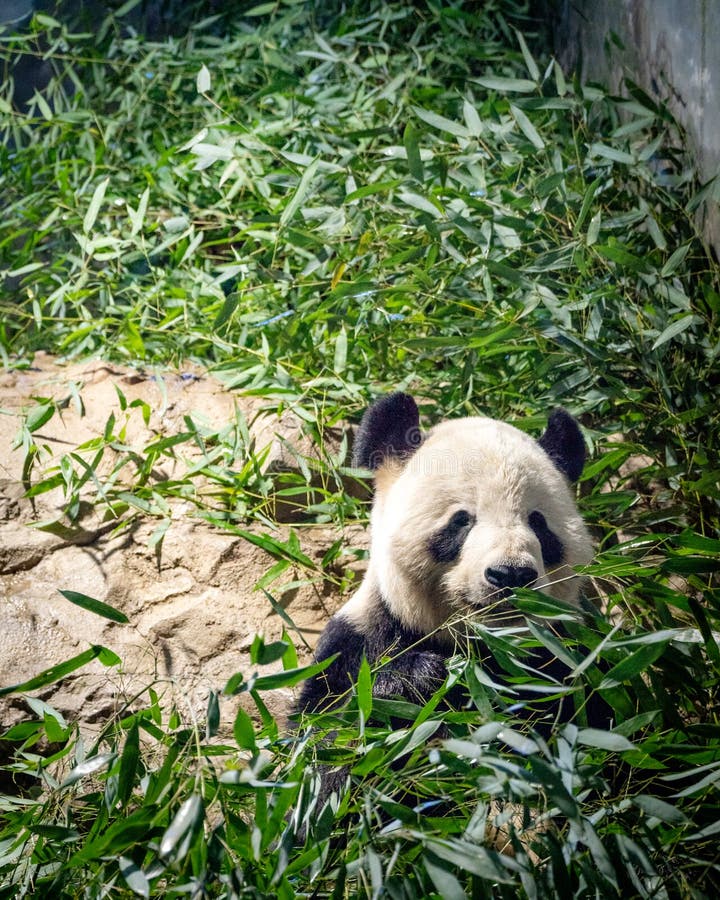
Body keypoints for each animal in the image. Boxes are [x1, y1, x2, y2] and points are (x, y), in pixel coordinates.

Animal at [295, 392, 604, 729]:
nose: (510, 574)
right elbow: (322, 723)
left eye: (538, 523)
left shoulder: (571, 655)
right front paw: (411, 681)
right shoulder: (358, 639)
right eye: (462, 520)